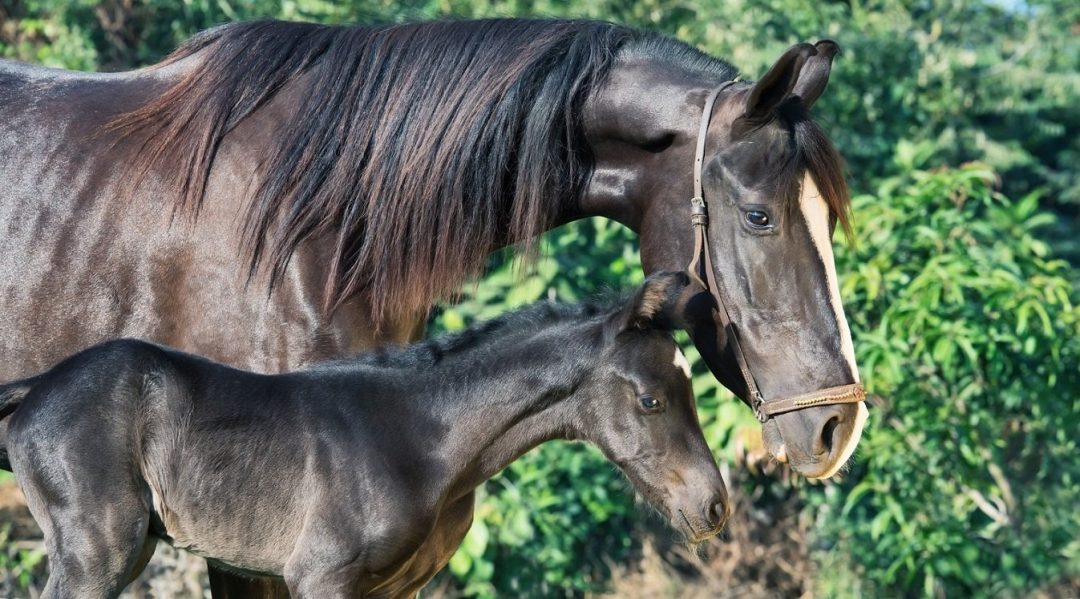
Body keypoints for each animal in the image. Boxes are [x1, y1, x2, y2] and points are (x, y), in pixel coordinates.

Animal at [0, 272, 726, 598]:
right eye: (652, 399)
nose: (714, 506)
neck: (418, 437)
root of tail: (35, 390)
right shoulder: (323, 576)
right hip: (98, 552)